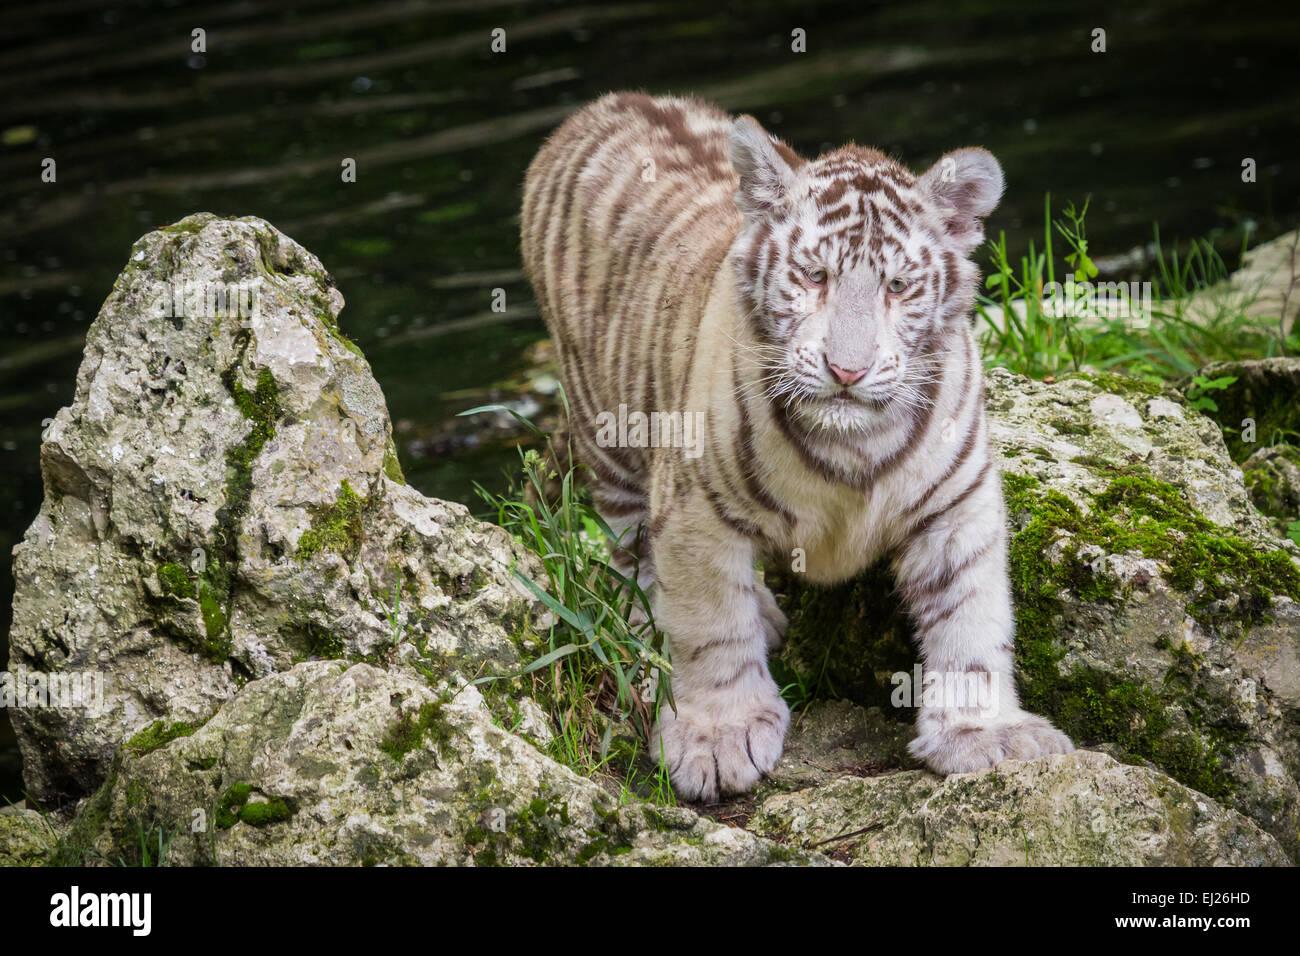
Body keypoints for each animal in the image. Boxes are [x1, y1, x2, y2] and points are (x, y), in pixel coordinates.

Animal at [520, 92, 1073, 802]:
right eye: (814, 276)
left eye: (897, 286)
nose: (848, 370)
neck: (856, 444)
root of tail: (600, 105)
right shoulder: (694, 508)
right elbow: (710, 626)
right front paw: (718, 736)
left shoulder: (959, 504)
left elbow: (972, 621)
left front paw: (985, 734)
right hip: (607, 427)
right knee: (630, 549)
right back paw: (657, 621)